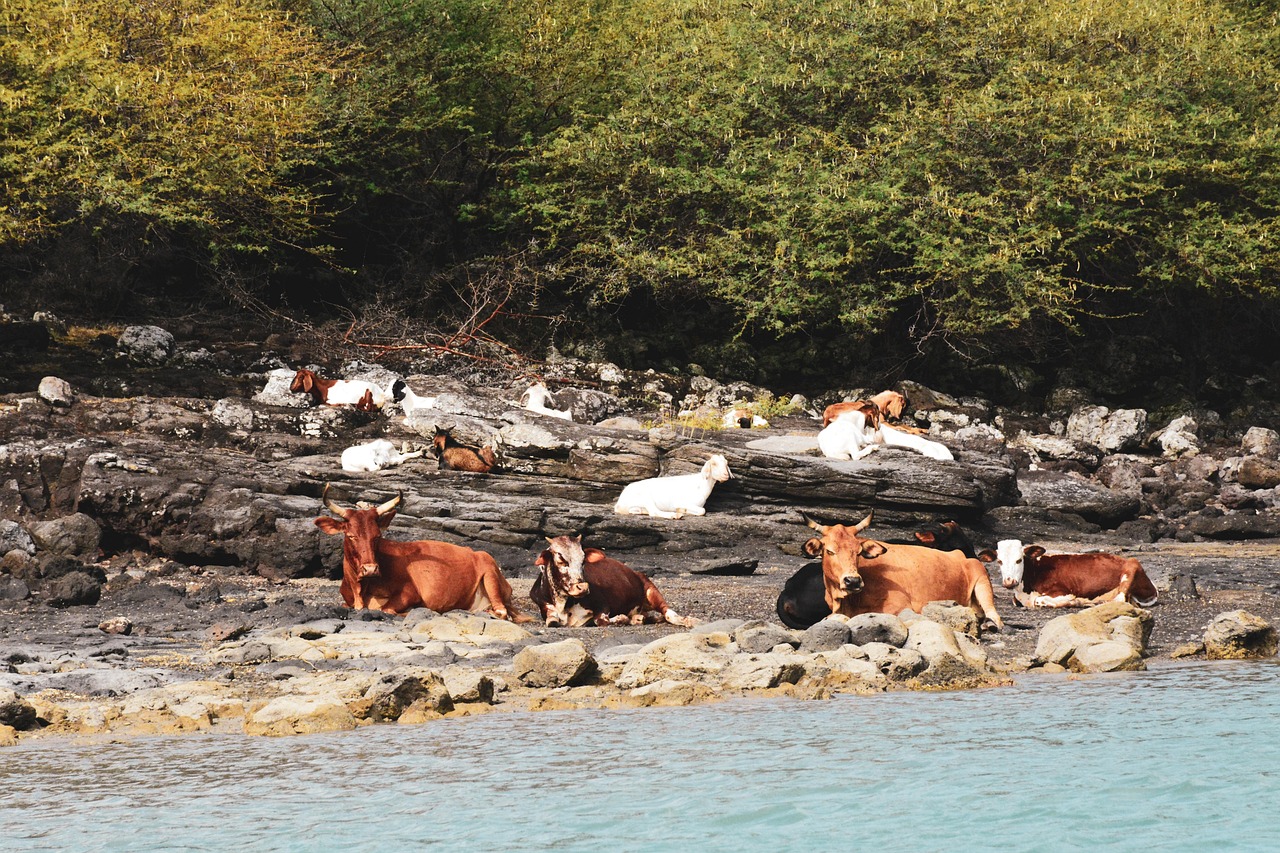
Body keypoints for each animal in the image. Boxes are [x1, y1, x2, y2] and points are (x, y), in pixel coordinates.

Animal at [314, 487, 530, 621]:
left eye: (377, 536)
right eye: (351, 536)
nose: (370, 569)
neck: (360, 588)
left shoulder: (410, 592)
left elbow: (387, 609)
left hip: (490, 572)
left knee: (501, 611)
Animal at [530, 535, 693, 627]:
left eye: (583, 560)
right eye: (560, 560)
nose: (582, 587)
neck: (564, 605)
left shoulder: (603, 605)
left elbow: (601, 620)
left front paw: (621, 618)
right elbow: (552, 622)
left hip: (650, 589)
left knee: (668, 613)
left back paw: (687, 621)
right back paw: (639, 618)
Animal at [795, 513, 1003, 630]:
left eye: (858, 551)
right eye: (829, 551)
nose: (852, 581)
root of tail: (961, 556)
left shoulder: (901, 608)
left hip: (981, 579)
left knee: (994, 615)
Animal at [978, 540, 1159, 608]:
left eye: (1019, 560)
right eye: (999, 561)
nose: (1009, 582)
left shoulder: (1062, 591)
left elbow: (1039, 601)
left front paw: (1073, 601)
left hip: (1132, 567)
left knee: (1119, 599)